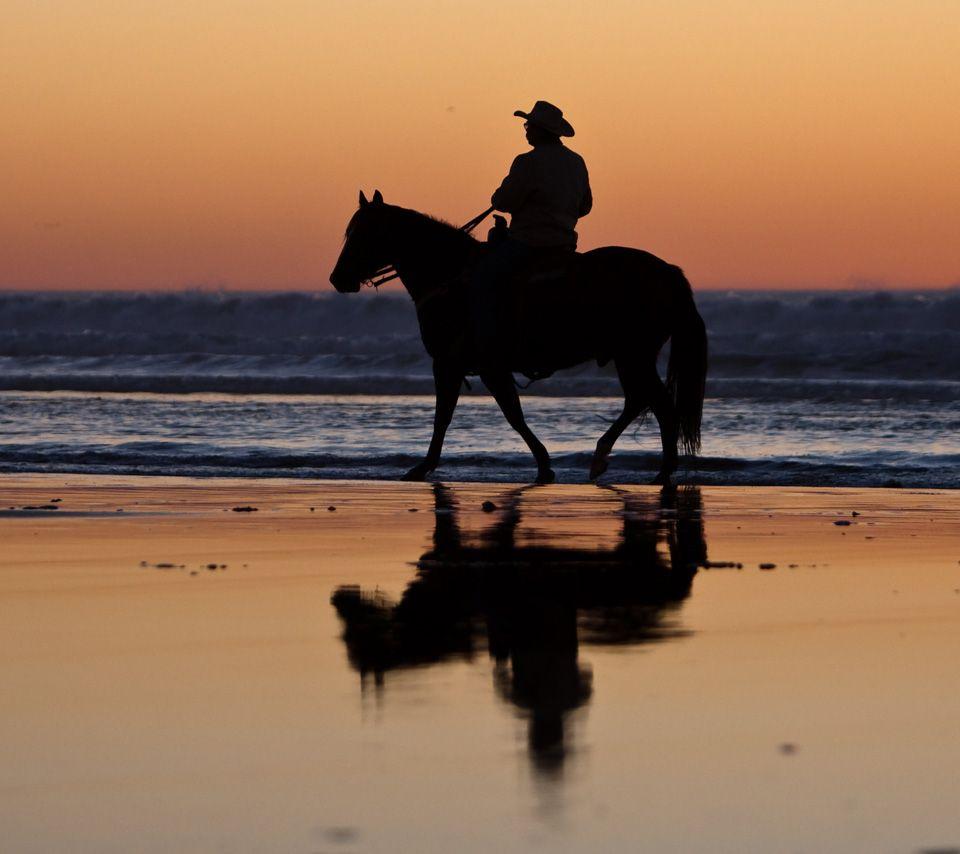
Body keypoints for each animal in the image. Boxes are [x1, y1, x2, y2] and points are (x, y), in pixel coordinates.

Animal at [329, 190, 708, 484]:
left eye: (363, 234)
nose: (338, 278)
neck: (450, 277)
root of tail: (668, 273)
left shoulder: (461, 365)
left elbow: (462, 416)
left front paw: (424, 467)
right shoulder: (478, 367)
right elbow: (503, 413)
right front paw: (543, 465)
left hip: (634, 355)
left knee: (658, 405)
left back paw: (657, 471)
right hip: (628, 357)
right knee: (640, 401)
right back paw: (609, 459)